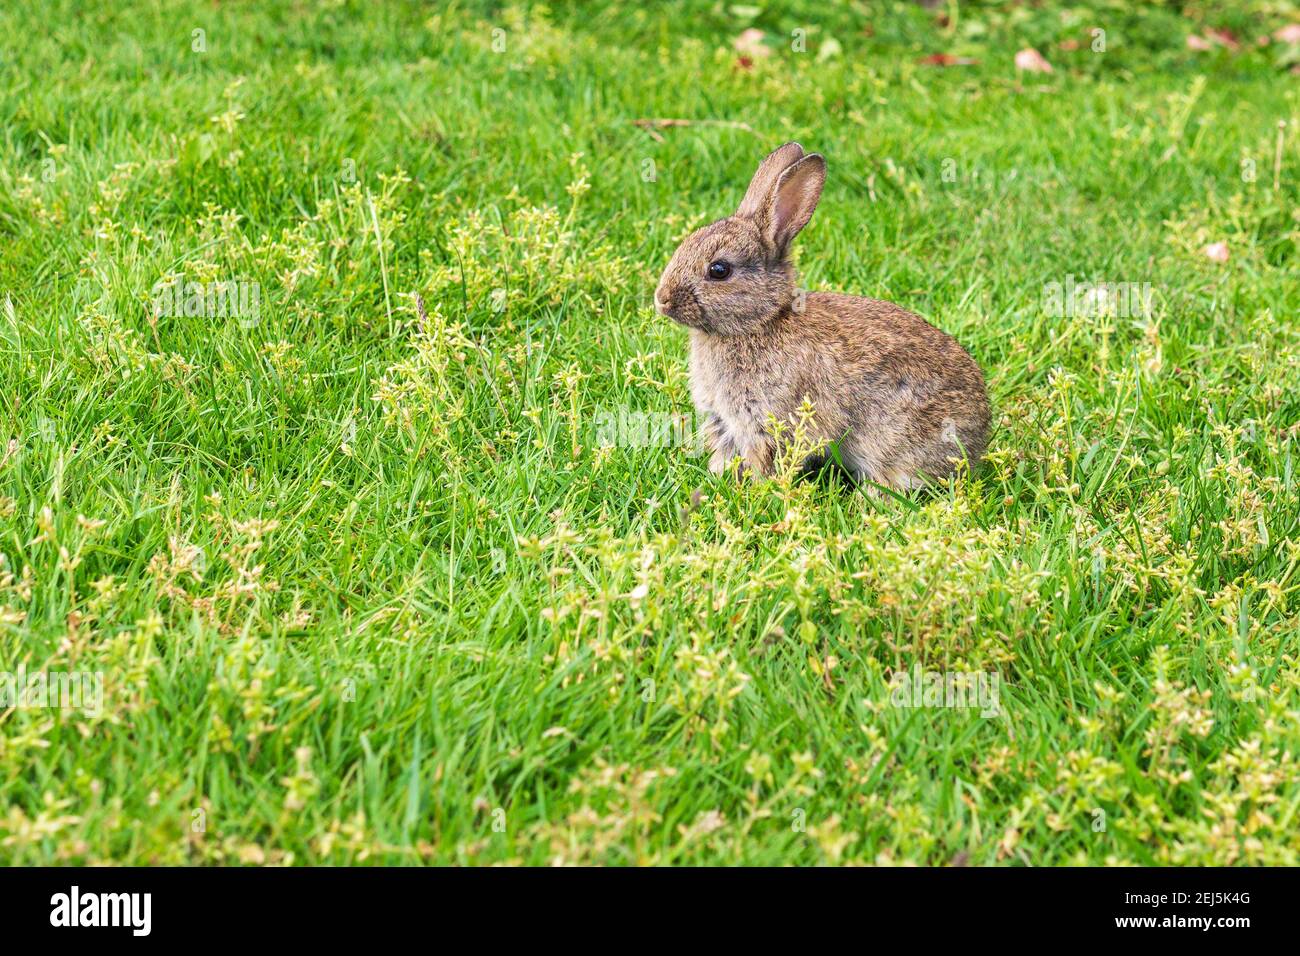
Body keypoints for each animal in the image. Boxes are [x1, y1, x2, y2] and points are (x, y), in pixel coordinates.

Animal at [654, 142, 990, 491]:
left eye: (719, 270)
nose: (661, 300)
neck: (760, 322)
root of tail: (977, 441)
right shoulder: (723, 421)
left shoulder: (771, 420)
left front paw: (759, 488)